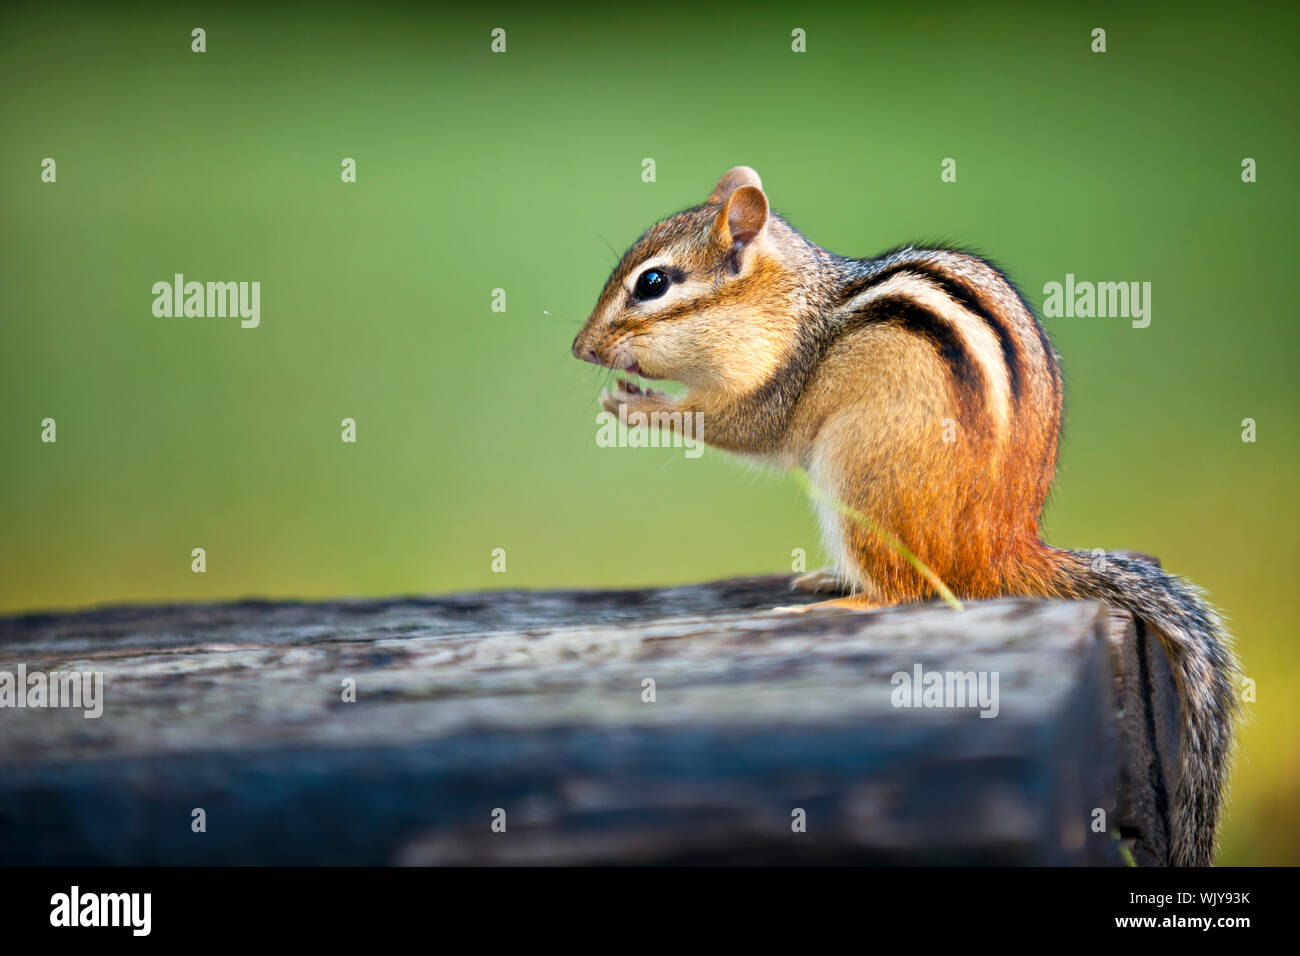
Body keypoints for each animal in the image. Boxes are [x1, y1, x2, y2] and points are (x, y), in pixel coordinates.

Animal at [571, 166, 1239, 866]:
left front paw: (635, 404)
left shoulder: (775, 387)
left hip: (856, 472)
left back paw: (838, 605)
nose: (580, 348)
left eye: (653, 283)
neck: (787, 305)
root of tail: (1002, 546)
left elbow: (738, 426)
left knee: (904, 590)